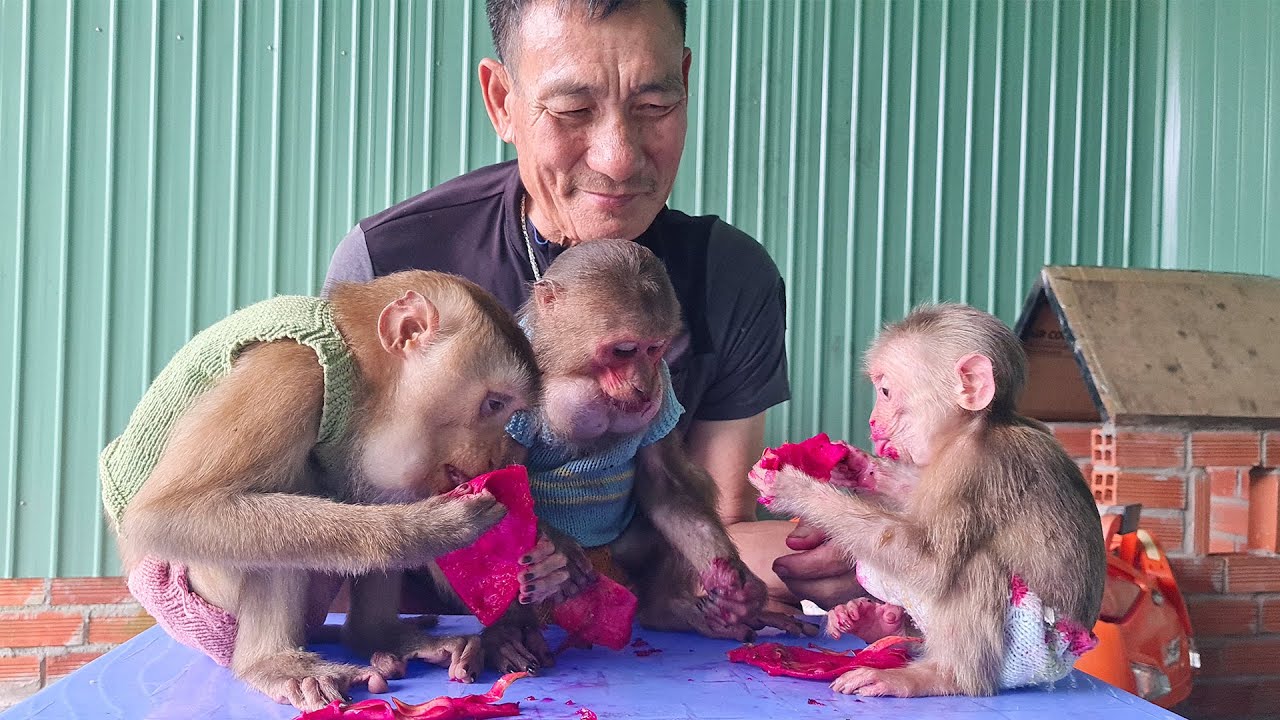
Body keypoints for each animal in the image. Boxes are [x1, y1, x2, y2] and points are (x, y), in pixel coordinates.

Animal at [100, 270, 540, 711]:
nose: (502, 454)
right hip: (199, 602)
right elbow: (166, 513)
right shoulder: (289, 374)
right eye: (494, 404)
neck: (359, 373)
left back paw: (376, 634)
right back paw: (272, 662)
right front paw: (426, 530)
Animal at [479, 239, 814, 674]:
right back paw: (508, 632)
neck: (569, 372)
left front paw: (737, 586)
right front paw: (557, 551)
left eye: (654, 350)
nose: (642, 385)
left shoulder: (664, 390)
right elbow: (489, 483)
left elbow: (666, 488)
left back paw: (666, 611)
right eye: (624, 351)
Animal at [749, 303, 1106, 698]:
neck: (972, 428)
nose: (872, 421)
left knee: (969, 567)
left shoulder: (973, 469)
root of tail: (1070, 654)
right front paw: (859, 469)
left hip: (1031, 651)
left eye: (885, 391)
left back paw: (942, 675)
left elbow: (927, 560)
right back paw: (878, 626)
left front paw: (794, 487)